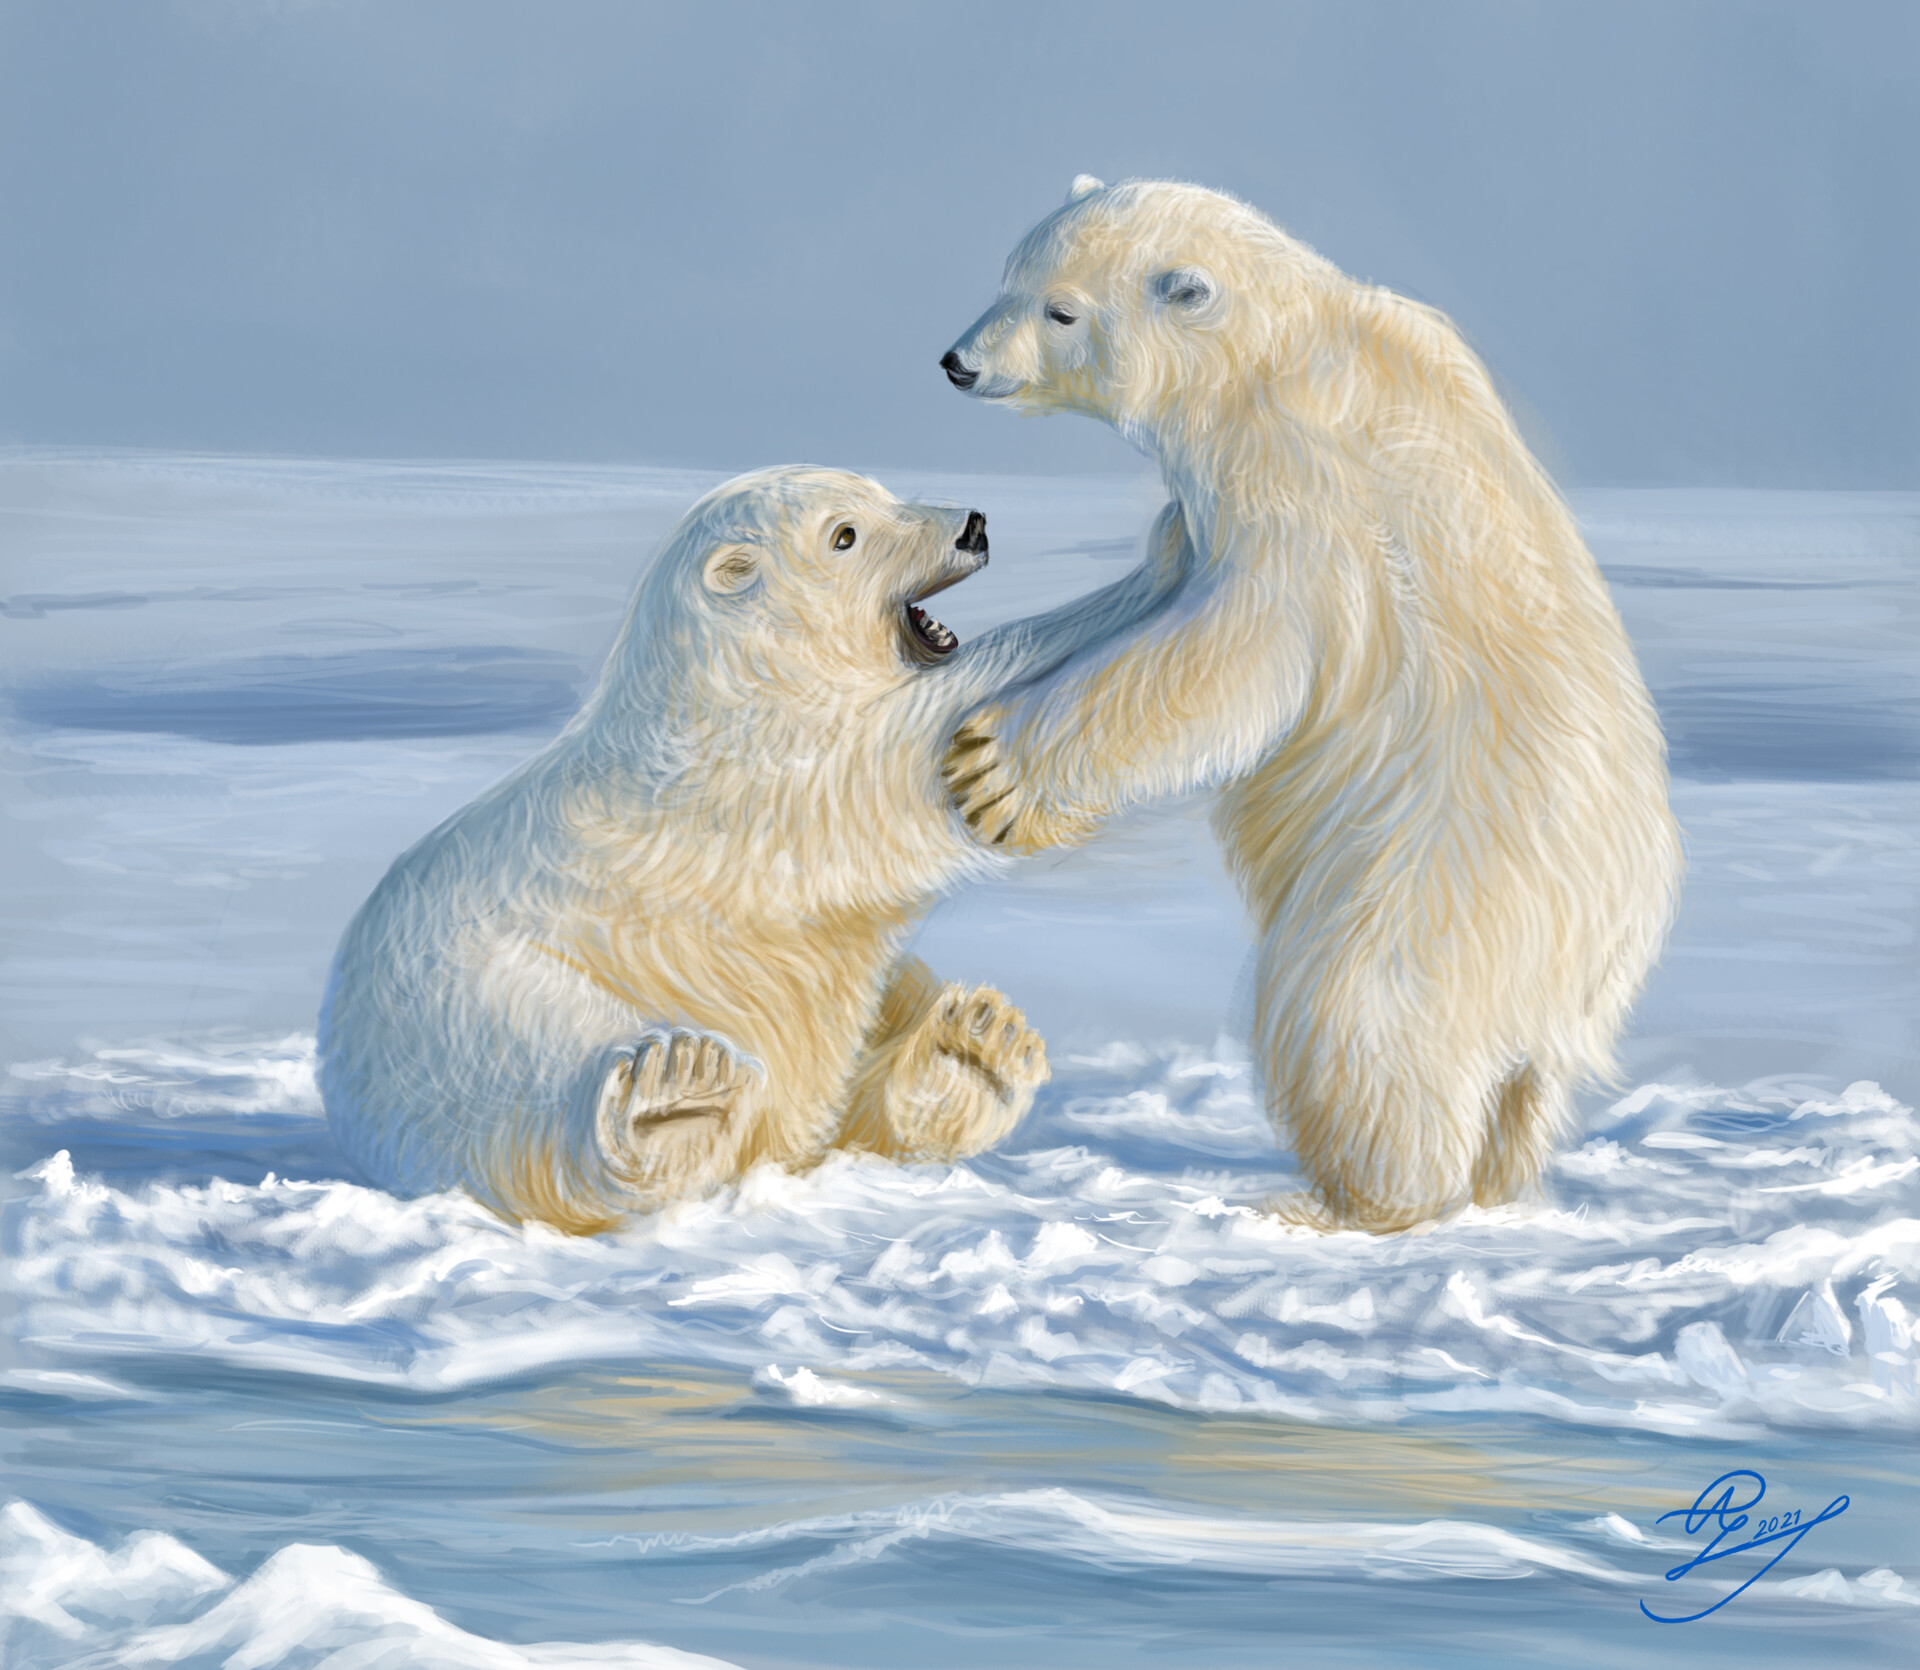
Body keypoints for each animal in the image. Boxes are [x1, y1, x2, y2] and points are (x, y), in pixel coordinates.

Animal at [318, 465, 1180, 1234]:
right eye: (845, 534)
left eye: (881, 489)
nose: (972, 524)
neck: (739, 690)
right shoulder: (770, 780)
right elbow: (915, 752)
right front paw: (1161, 561)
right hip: (474, 1009)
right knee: (542, 1082)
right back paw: (671, 1100)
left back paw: (976, 1050)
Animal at [937, 177, 1682, 1233]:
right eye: (1010, 275)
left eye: (1063, 311)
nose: (959, 362)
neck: (1276, 349)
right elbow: (1176, 567)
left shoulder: (1304, 486)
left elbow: (1240, 651)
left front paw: (992, 770)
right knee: (1524, 1089)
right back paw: (1499, 1181)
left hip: (1427, 878)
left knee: (1356, 1018)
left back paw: (1344, 1201)